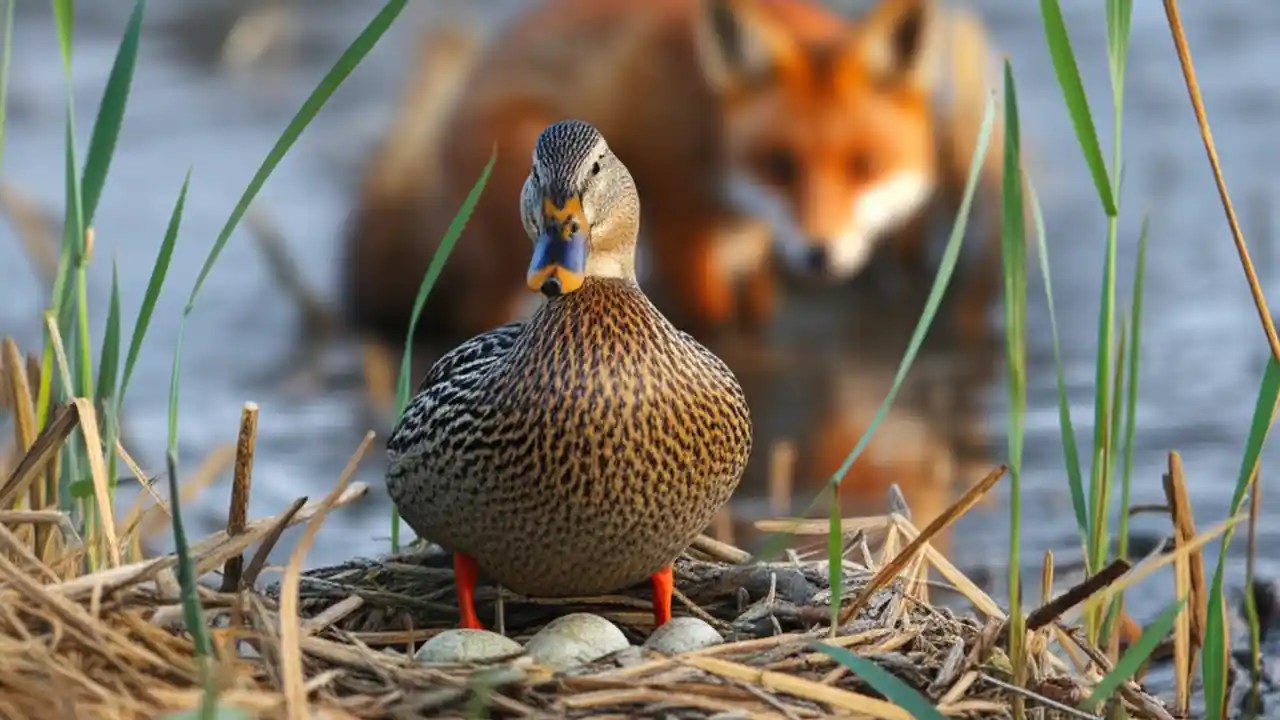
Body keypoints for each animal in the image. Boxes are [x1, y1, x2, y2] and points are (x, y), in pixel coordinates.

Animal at [341, 0, 1007, 363]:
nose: (820, 256)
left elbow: (755, 310)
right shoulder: (685, 228)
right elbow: (711, 321)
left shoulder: (750, 244)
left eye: (864, 165)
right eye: (780, 164)